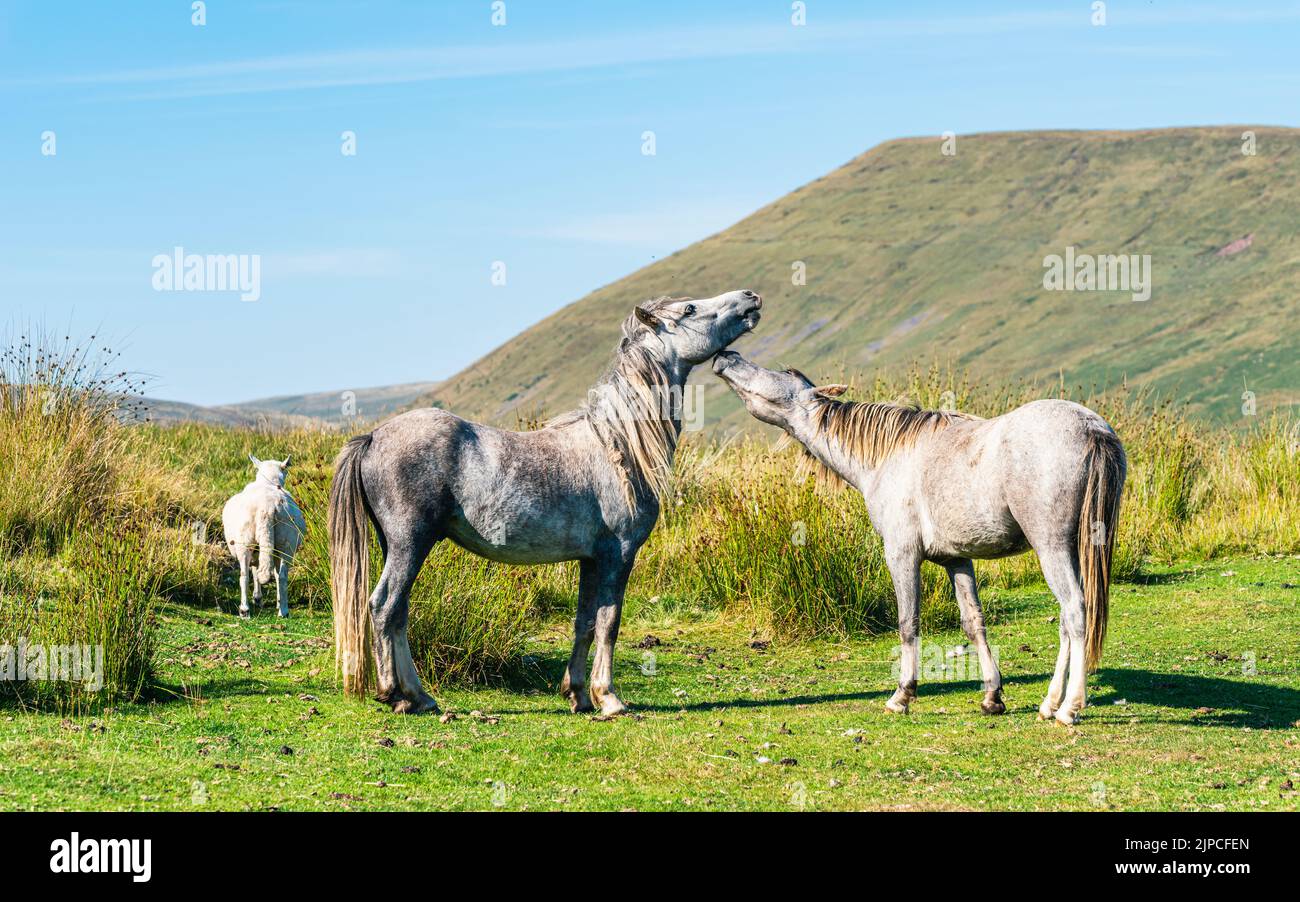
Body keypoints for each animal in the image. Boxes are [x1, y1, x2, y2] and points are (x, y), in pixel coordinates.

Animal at [222, 454, 306, 618]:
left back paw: (244, 610)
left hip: (245, 541)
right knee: (282, 575)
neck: (268, 482)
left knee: (244, 575)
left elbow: (255, 571)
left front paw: (257, 597)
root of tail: (267, 507)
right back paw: (283, 611)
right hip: (286, 541)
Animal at [329, 290, 763, 714]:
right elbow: (609, 622)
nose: (751, 299)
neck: (618, 446)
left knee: (399, 612)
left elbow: (585, 623)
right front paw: (609, 698)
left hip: (398, 546)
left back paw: (420, 697)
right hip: (410, 543)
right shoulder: (619, 554)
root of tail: (373, 437)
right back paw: (394, 693)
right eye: (690, 309)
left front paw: (579, 694)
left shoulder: (591, 559)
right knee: (384, 607)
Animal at [712, 351, 1125, 725]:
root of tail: (1092, 428)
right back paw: (1049, 703)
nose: (726, 355)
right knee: (1066, 621)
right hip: (1072, 551)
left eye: (784, 372)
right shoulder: (957, 560)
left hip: (1052, 549)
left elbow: (908, 622)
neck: (888, 458)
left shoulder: (902, 555)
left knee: (1076, 612)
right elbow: (973, 622)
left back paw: (1069, 708)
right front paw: (992, 696)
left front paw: (903, 694)